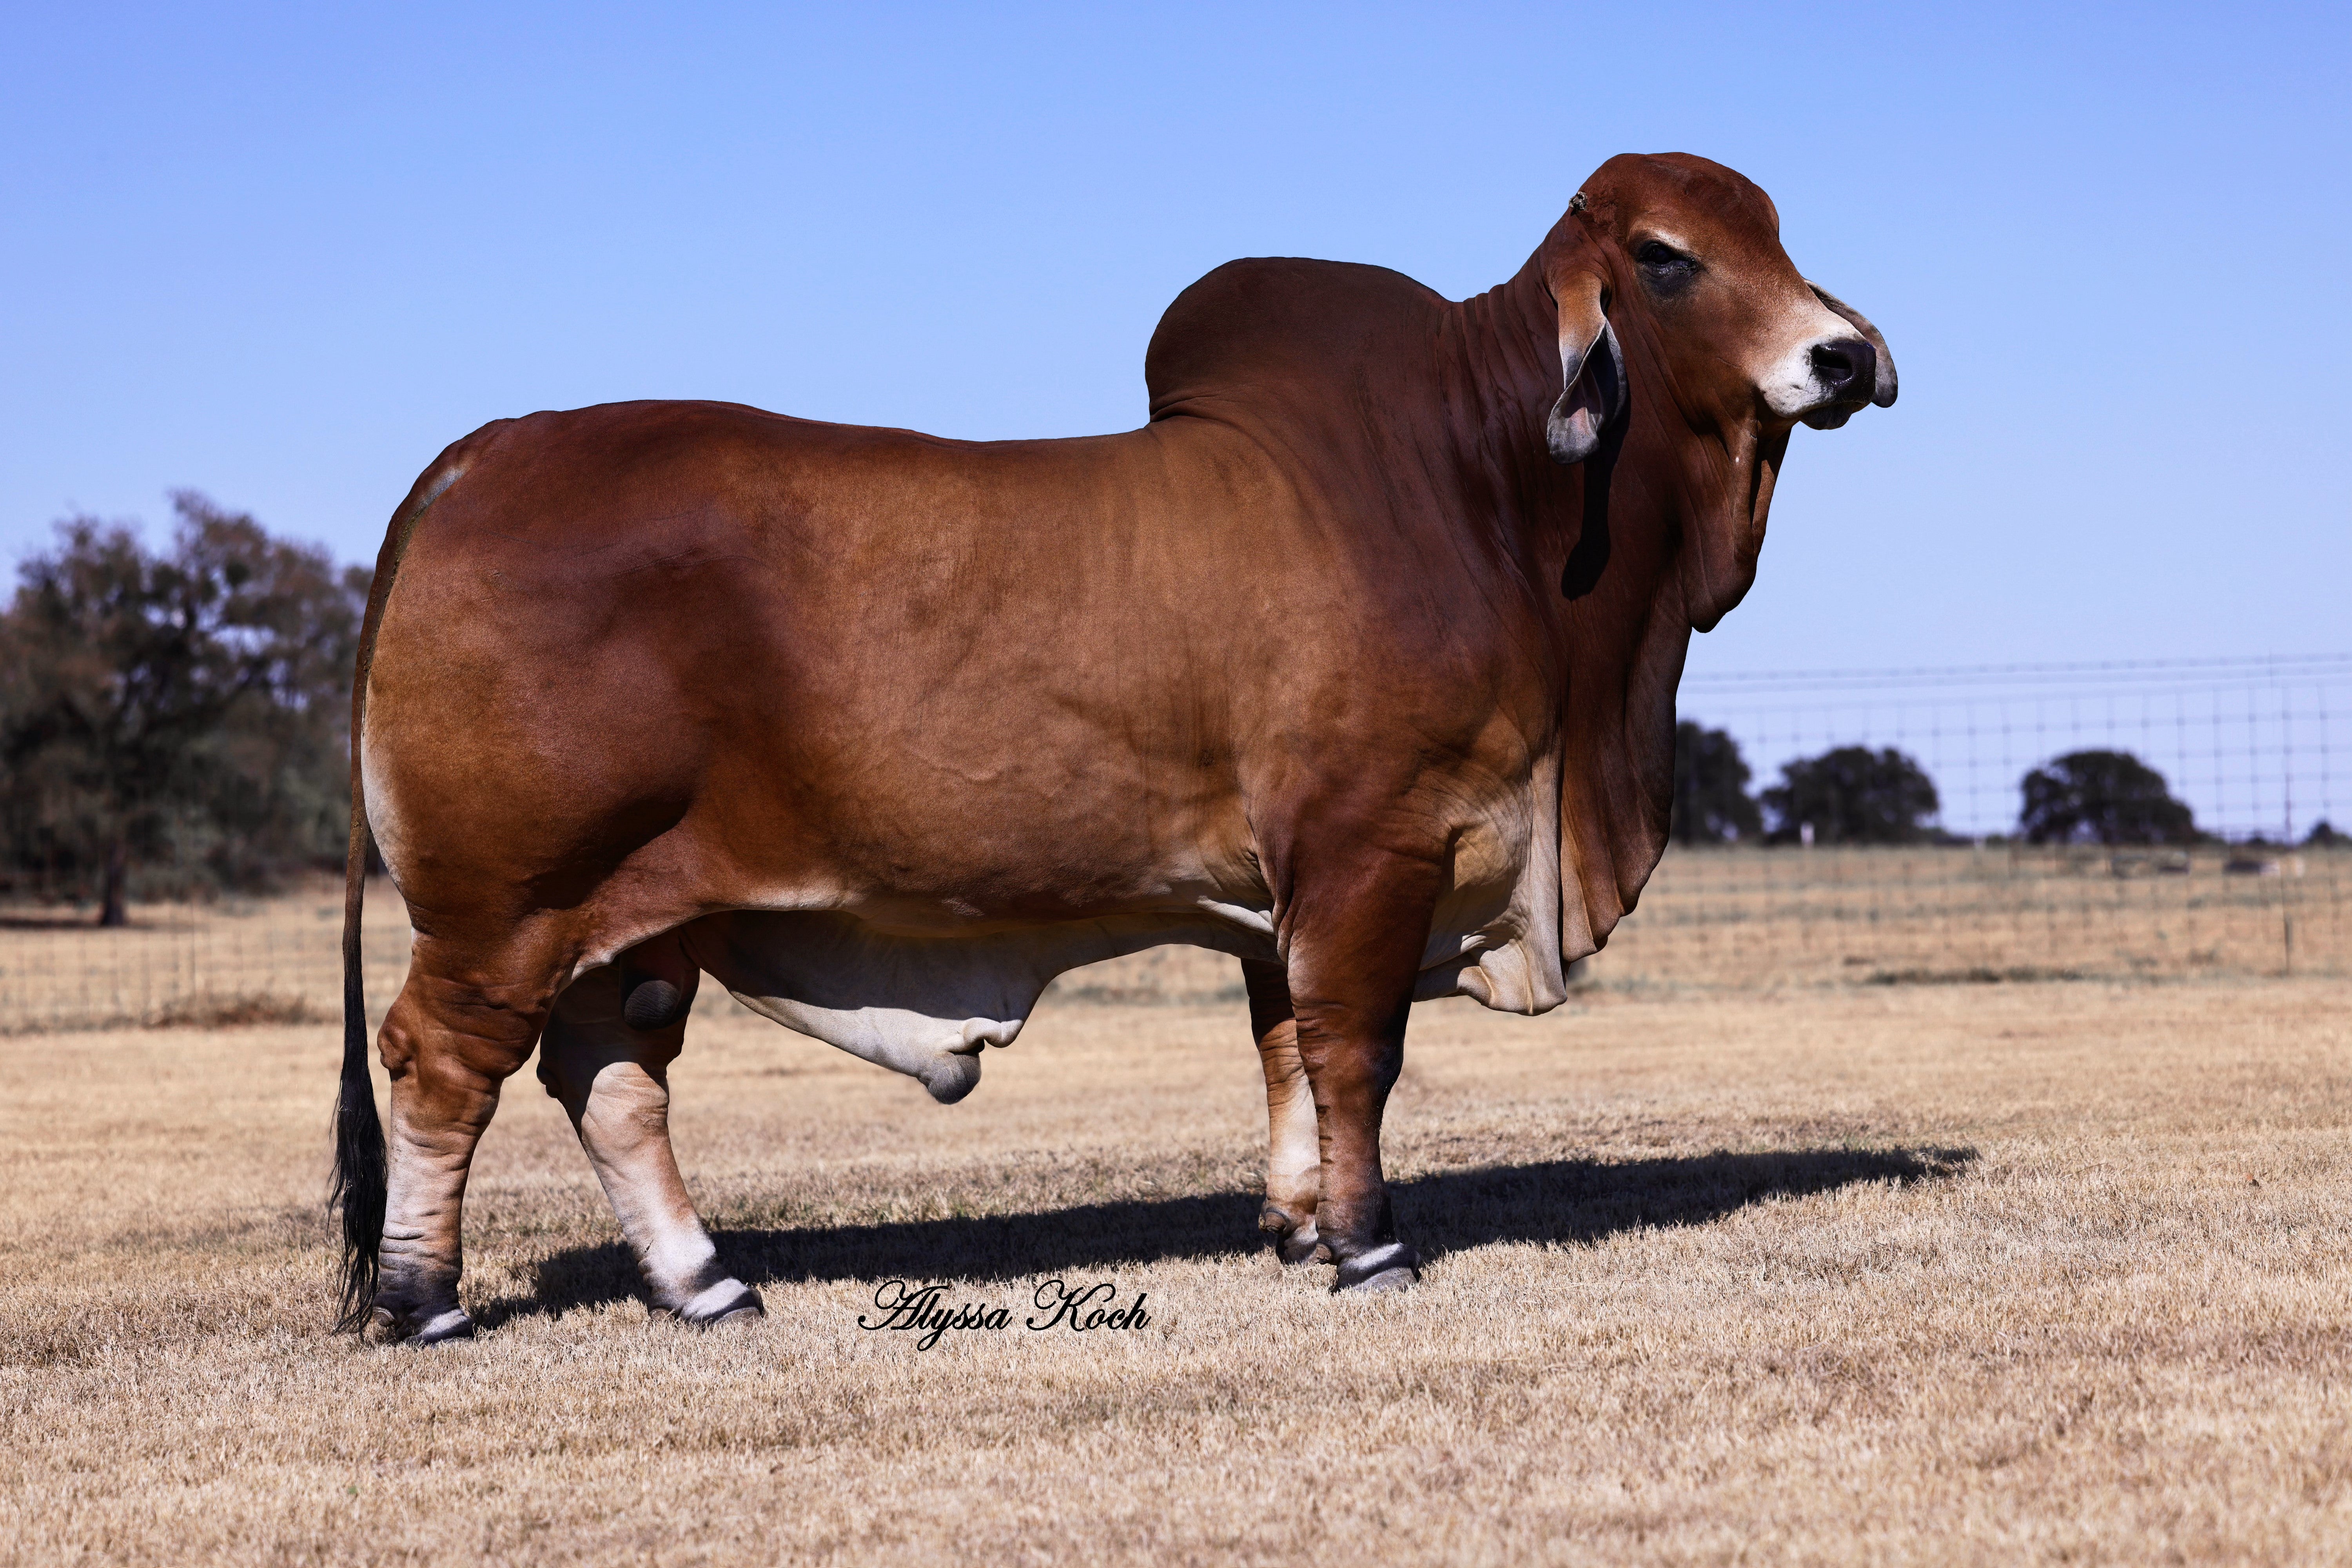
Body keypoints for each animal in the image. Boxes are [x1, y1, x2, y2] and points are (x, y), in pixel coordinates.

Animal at [332, 152, 1895, 1342]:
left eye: (1777, 233)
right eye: (1665, 257)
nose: (1842, 355)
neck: (1483, 490)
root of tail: (489, 450)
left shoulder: (1284, 893)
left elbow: (1282, 1046)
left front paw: (1292, 1223)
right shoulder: (1371, 847)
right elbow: (1354, 1051)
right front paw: (1367, 1242)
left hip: (629, 919)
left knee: (611, 1080)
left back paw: (706, 1281)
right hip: (507, 901)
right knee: (443, 1063)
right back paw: (424, 1299)